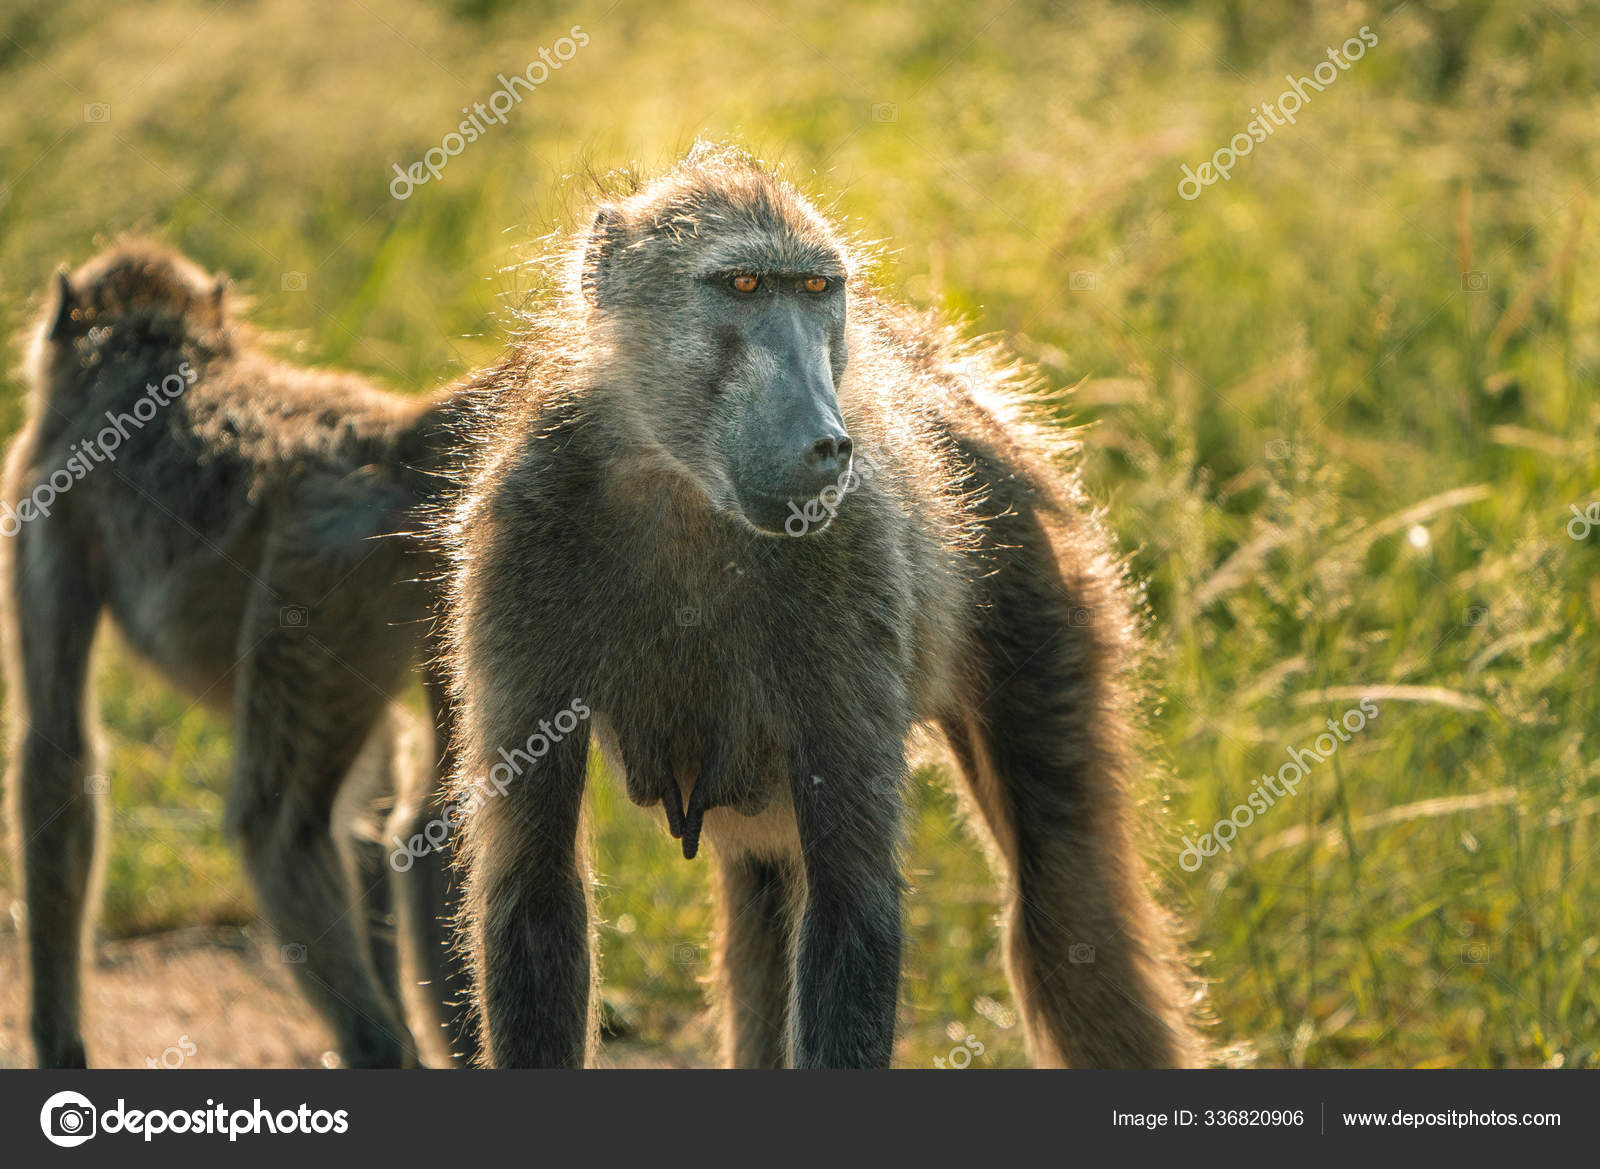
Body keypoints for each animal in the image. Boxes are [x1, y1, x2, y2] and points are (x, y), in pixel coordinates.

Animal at [1, 240, 479, 1067]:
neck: (156, 350)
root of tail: (389, 445)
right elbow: (386, 809)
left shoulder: (42, 492)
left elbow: (56, 751)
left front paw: (59, 1049)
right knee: (437, 822)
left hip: (311, 579)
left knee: (277, 828)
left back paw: (380, 1046)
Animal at [442, 144, 1203, 1068]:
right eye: (741, 286)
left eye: (814, 290)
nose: (826, 442)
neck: (683, 487)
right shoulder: (515, 538)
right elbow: (534, 891)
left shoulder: (857, 543)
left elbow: (853, 900)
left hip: (1047, 594)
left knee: (1064, 922)